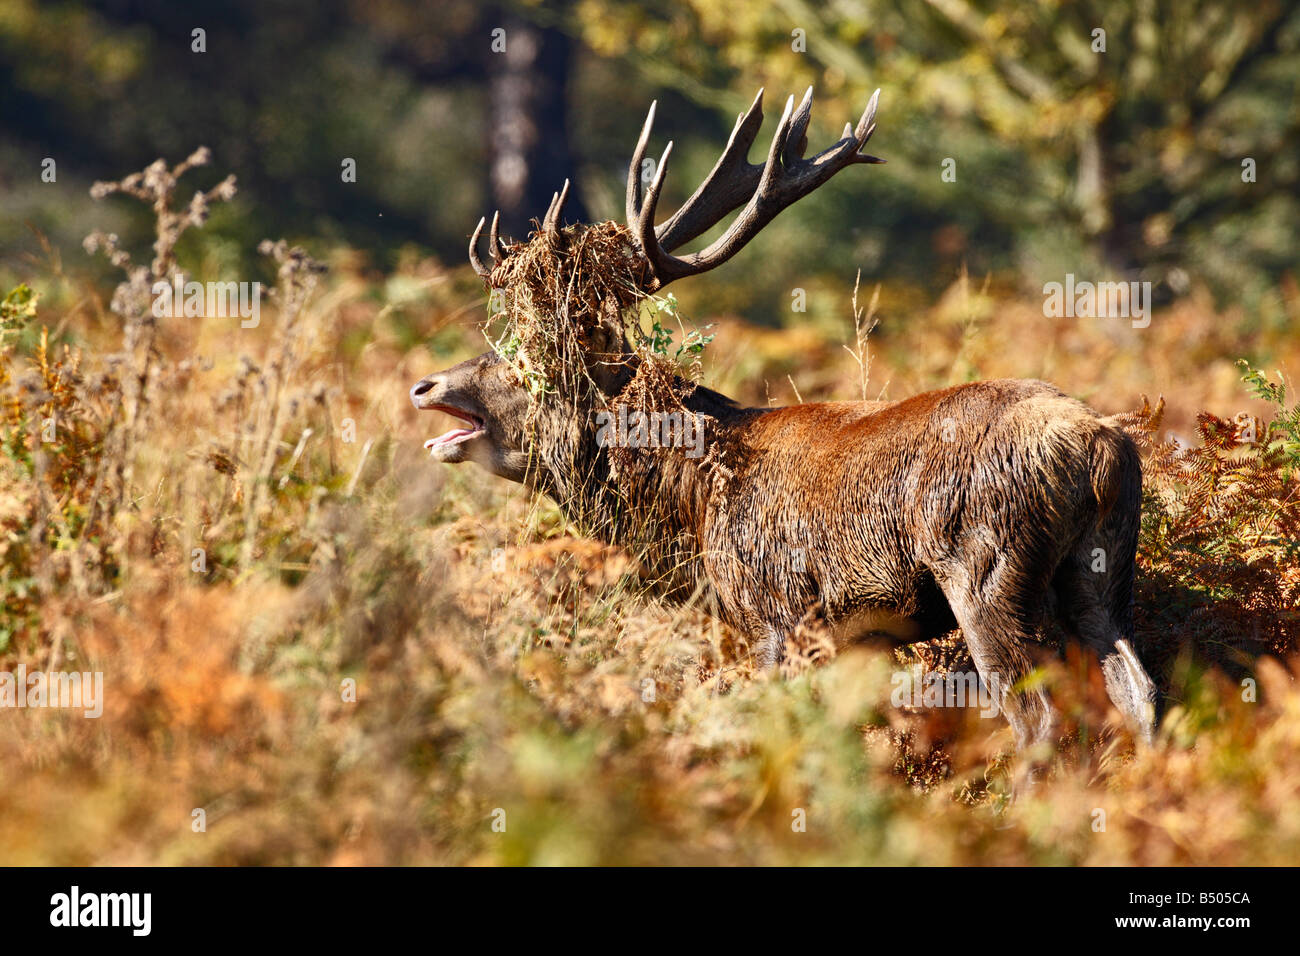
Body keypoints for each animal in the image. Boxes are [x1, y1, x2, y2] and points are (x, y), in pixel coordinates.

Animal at [409, 87, 1159, 754]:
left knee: (1040, 717)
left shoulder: (776, 612)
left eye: (530, 360)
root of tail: (1101, 448)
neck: (692, 506)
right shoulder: (857, 639)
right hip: (1101, 566)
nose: (425, 384)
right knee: (1138, 692)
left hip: (986, 565)